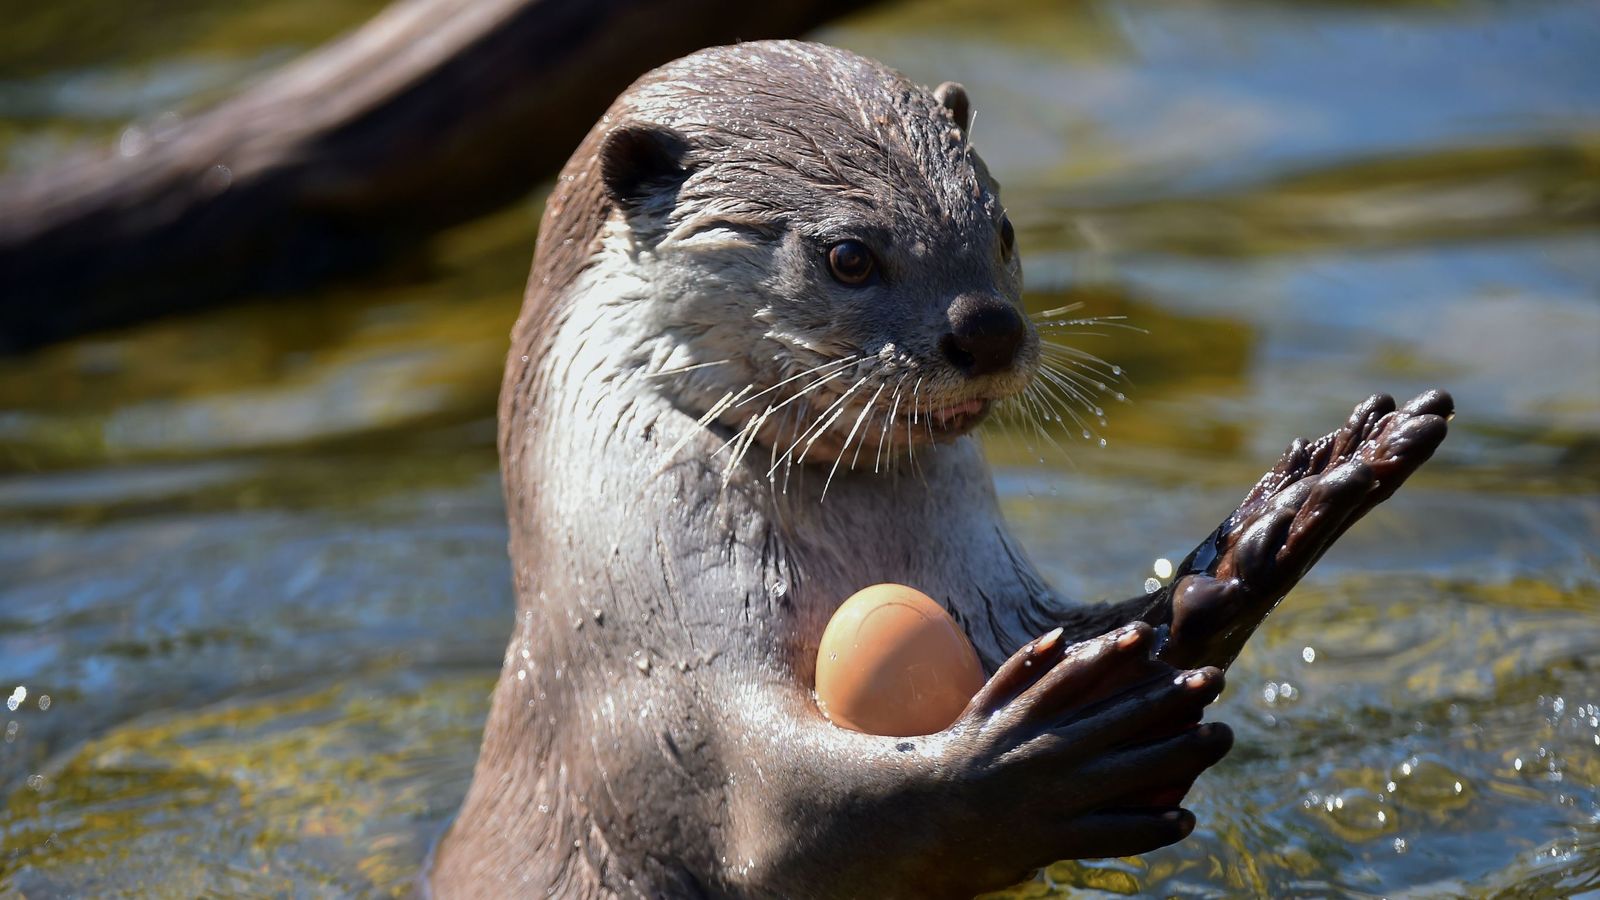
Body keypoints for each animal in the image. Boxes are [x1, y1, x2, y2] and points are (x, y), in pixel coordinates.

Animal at [431, 41, 1451, 899]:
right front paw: (1031, 760)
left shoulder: (997, 598)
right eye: (848, 255)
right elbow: (799, 816)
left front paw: (1269, 529)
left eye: (1002, 230)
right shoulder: (660, 695)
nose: (988, 328)